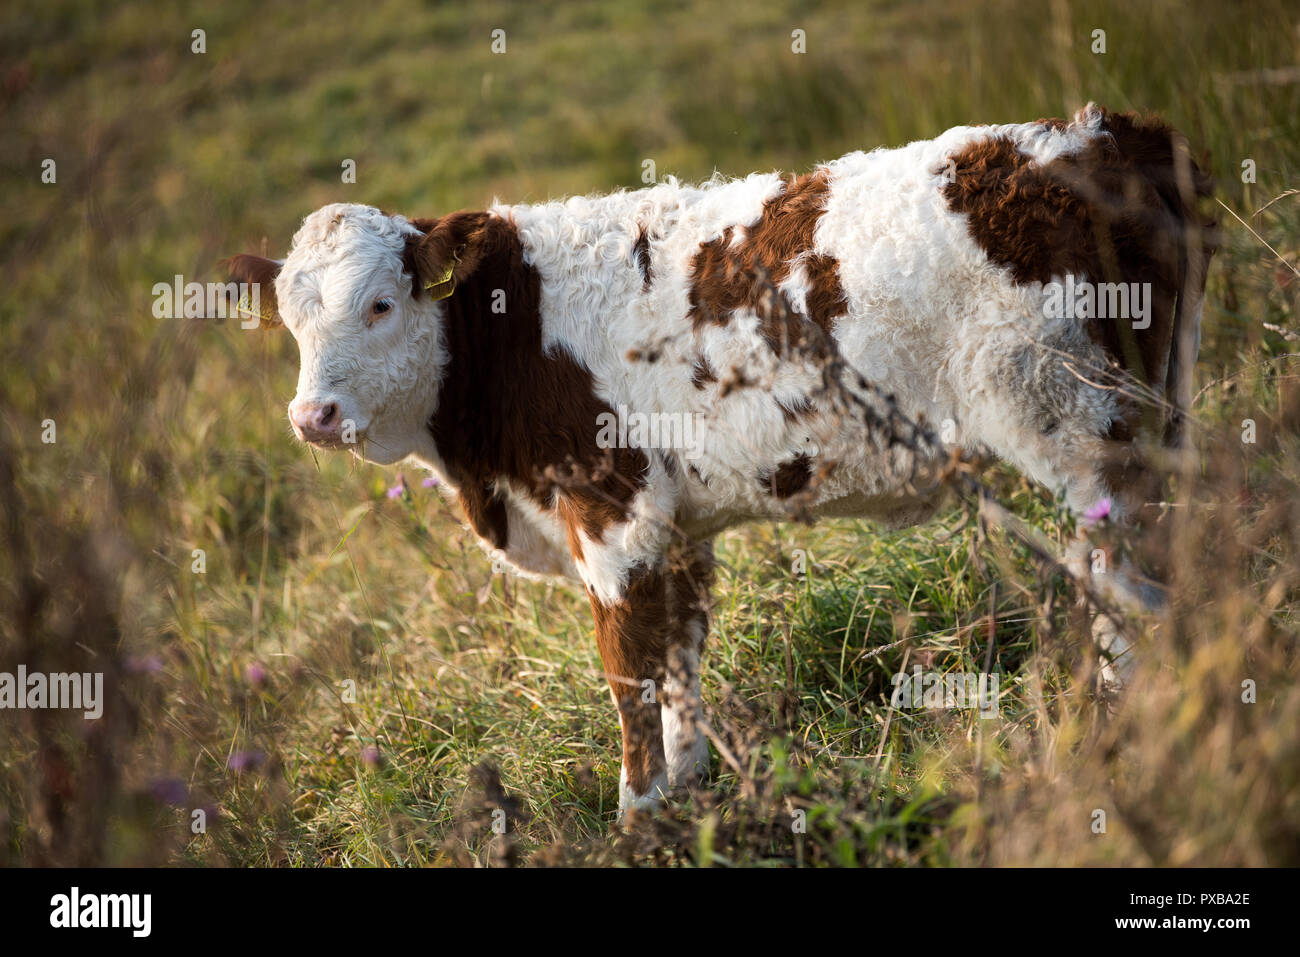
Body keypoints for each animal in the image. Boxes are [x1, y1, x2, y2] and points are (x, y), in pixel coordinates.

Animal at [227, 103, 1215, 817]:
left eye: (382, 303)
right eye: (292, 321)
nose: (311, 416)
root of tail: (1101, 132)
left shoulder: (613, 512)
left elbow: (627, 669)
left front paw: (635, 814)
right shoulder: (680, 524)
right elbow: (681, 658)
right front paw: (689, 784)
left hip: (1083, 427)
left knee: (1127, 577)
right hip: (1160, 410)